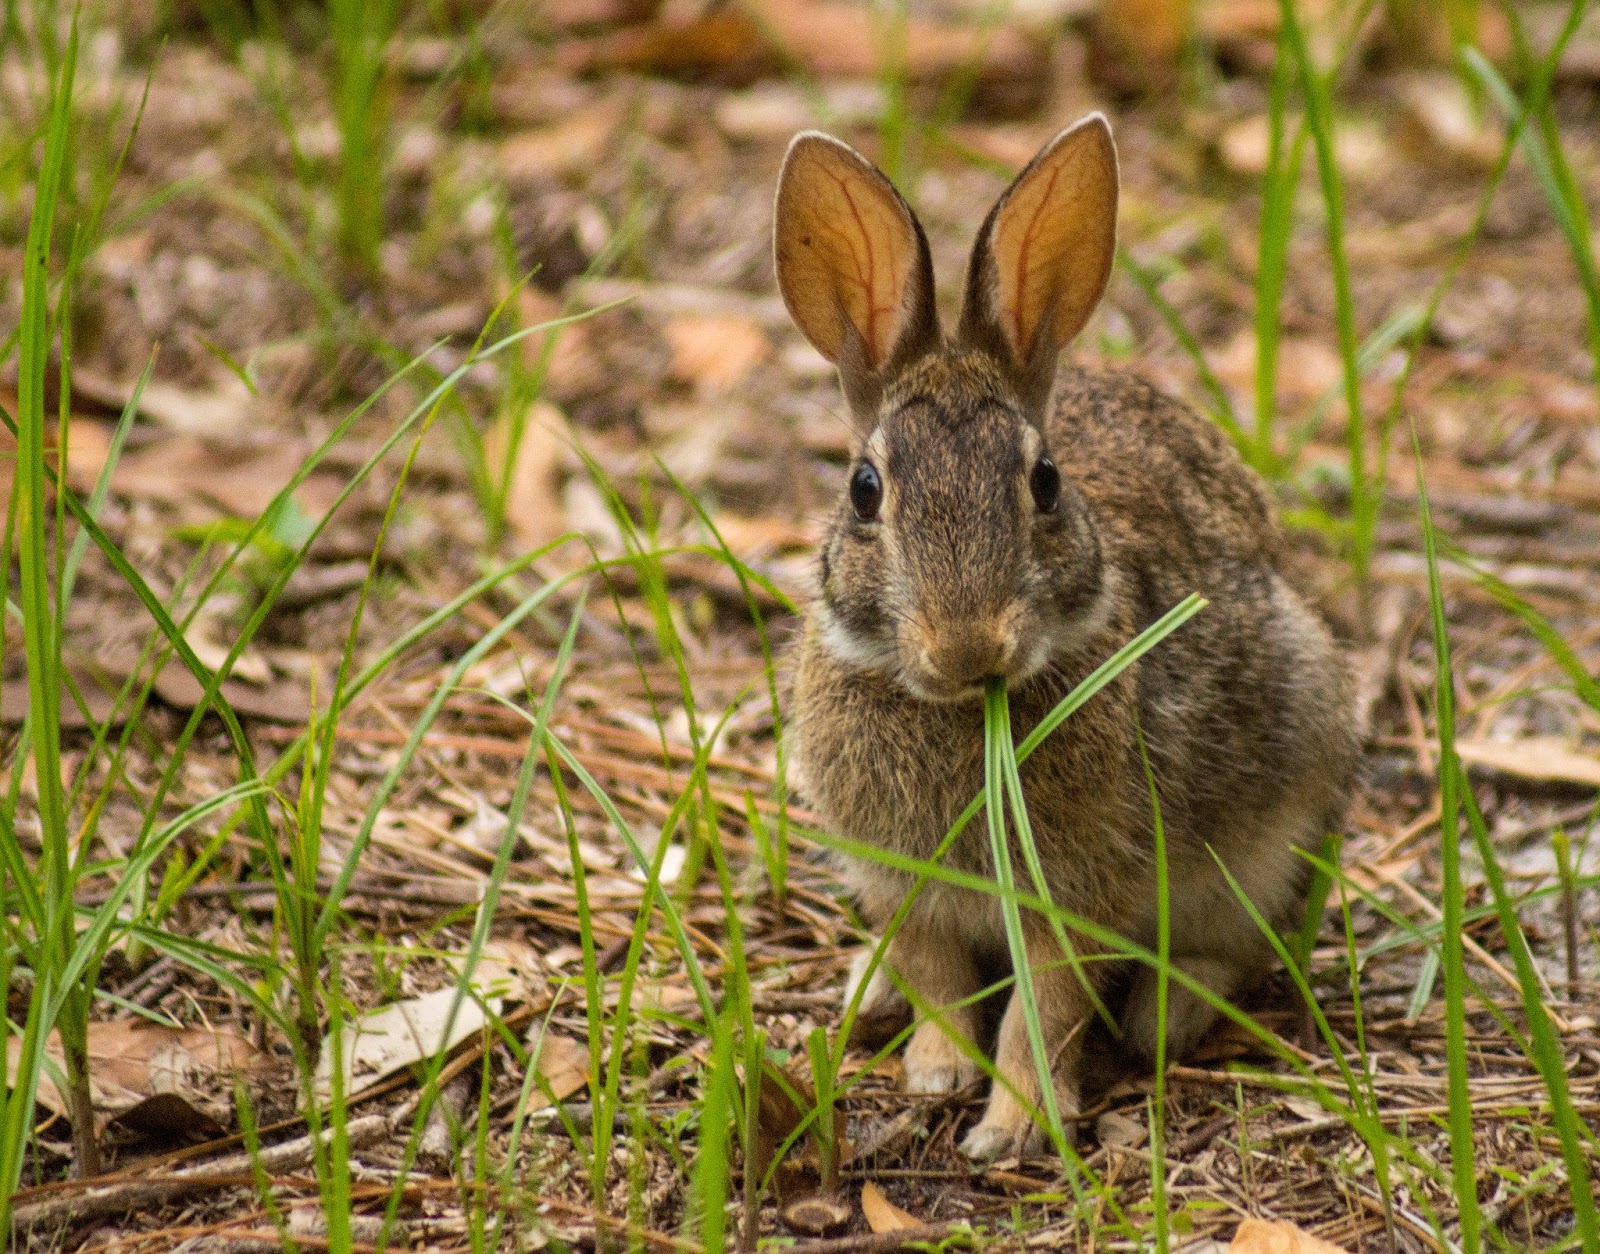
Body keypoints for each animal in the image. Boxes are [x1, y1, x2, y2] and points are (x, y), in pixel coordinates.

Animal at [774, 114, 1358, 1161]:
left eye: (1045, 482)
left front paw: (1007, 1127)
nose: (970, 647)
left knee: (1238, 946)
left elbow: (1042, 1010)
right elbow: (940, 976)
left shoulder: (1081, 888)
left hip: (1291, 781)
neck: (968, 714)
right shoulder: (900, 878)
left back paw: (1167, 1012)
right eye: (864, 491)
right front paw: (935, 1073)